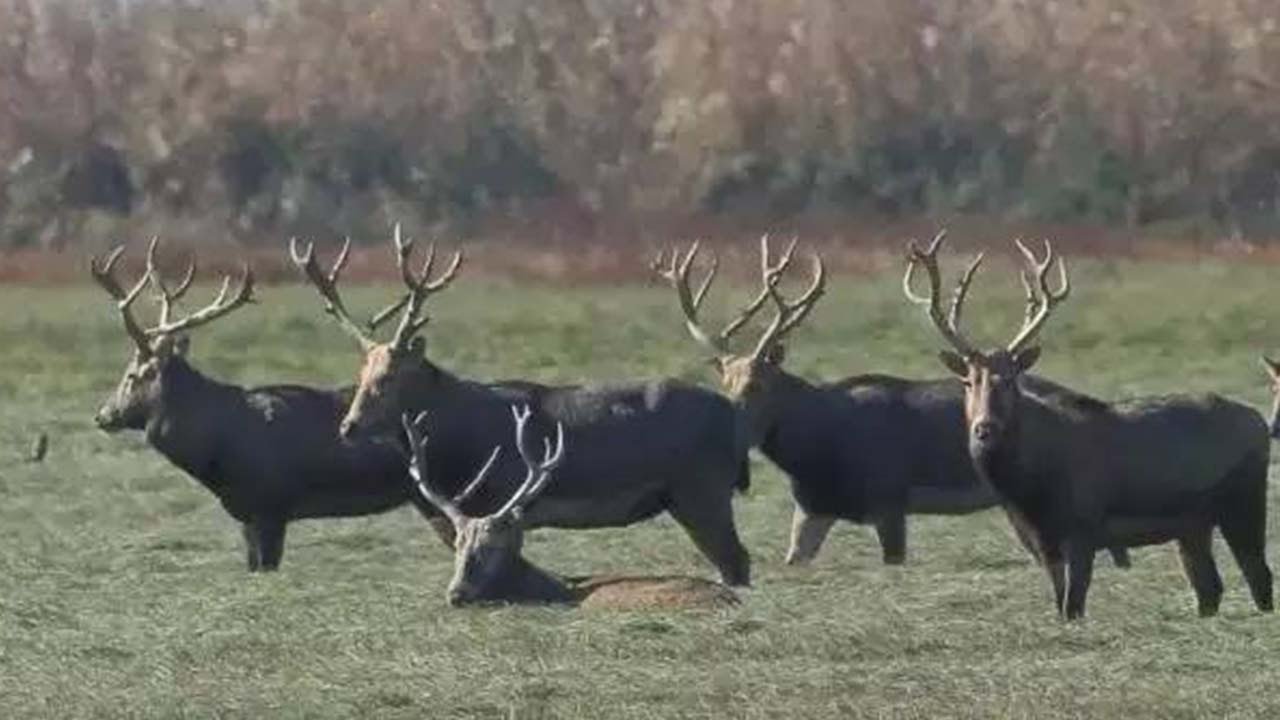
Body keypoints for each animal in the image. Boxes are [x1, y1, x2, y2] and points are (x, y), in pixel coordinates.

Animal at [291, 226, 753, 586]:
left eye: (388, 378)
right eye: (360, 376)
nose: (348, 427)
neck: (453, 450)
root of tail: (733, 419)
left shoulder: (502, 498)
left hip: (702, 489)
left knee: (737, 562)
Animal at [654, 236, 1131, 569]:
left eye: (756, 384)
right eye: (725, 382)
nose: (726, 430)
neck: (816, 448)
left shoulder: (890, 497)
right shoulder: (812, 507)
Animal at [904, 232, 1273, 619]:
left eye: (1010, 378)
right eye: (967, 381)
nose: (985, 428)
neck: (1029, 491)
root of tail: (1259, 421)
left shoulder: (1084, 529)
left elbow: (1074, 604)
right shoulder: (1041, 543)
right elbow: (1060, 604)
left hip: (1245, 500)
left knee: (1259, 574)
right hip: (1193, 524)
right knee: (1209, 586)